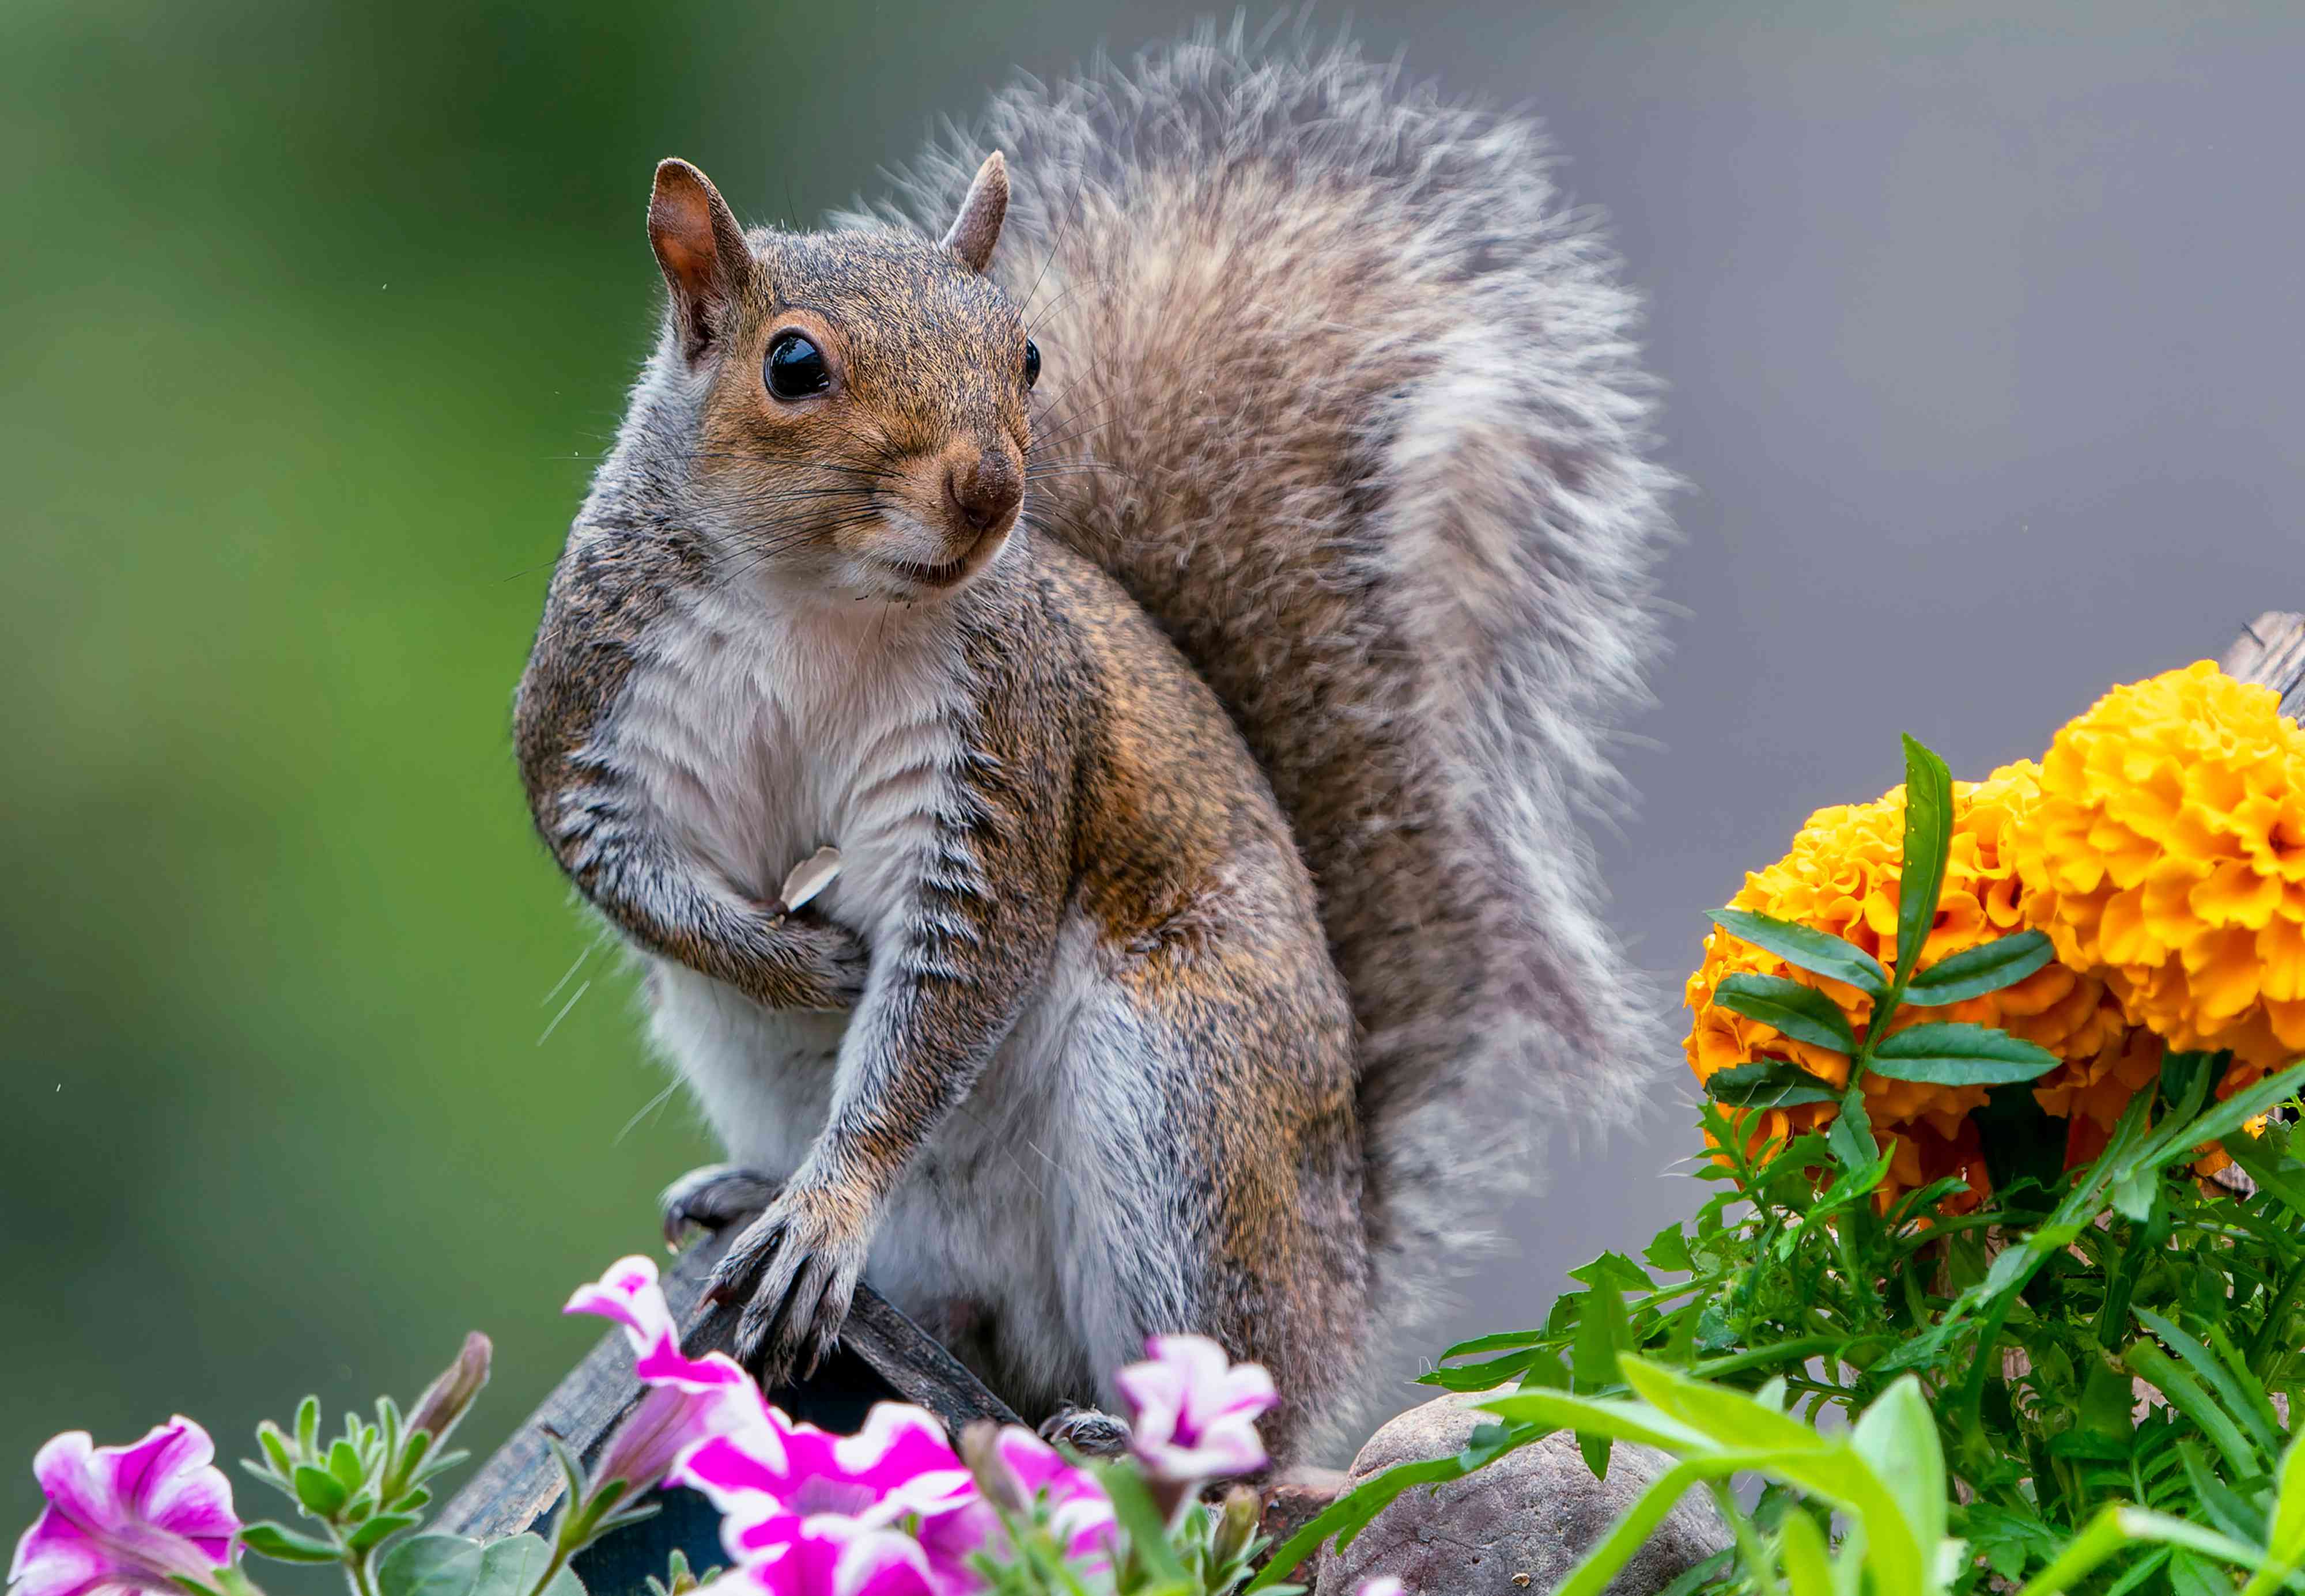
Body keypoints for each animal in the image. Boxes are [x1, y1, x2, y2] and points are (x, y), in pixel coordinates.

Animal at [514, 27, 1671, 1464]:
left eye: (1024, 356)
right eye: (790, 366)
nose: (989, 488)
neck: (815, 602)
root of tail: (1341, 1275)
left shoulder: (1000, 764)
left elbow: (945, 999)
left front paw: (827, 1206)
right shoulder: (589, 719)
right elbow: (622, 871)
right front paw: (794, 962)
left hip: (1183, 1109)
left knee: (1236, 1421)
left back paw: (1128, 1431)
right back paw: (761, 1198)